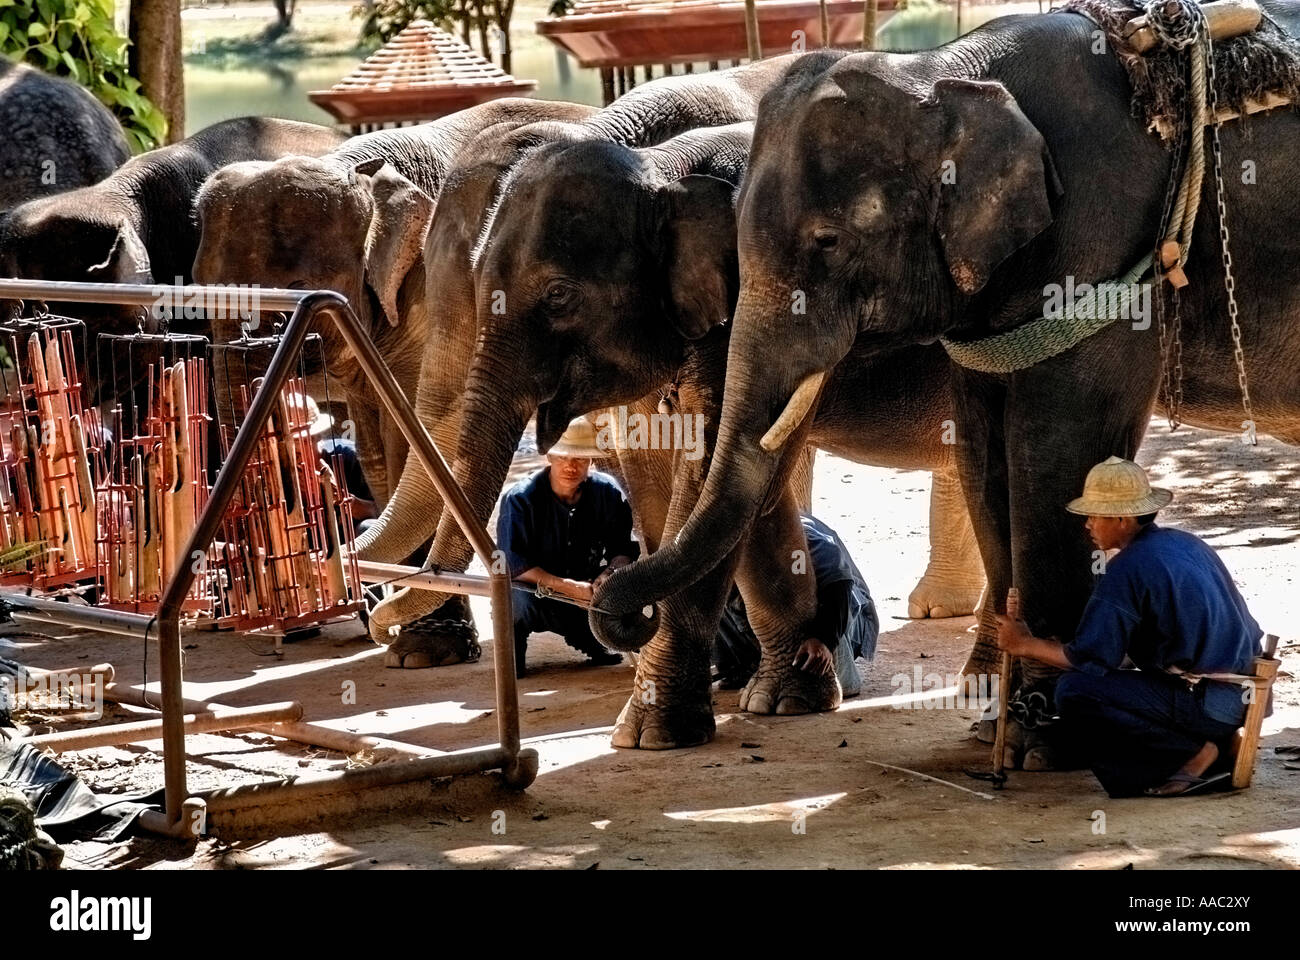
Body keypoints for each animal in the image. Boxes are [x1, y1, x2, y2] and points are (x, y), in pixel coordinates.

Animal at [191, 99, 595, 509]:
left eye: (298, 287)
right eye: (195, 283)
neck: (353, 167)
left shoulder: (425, 299)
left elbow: (402, 443)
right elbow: (373, 453)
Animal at [588, 7, 1300, 755]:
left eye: (827, 242)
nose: (622, 602)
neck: (941, 70)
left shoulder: (1106, 245)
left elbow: (1058, 450)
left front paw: (1041, 742)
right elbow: (987, 455)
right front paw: (1002, 728)